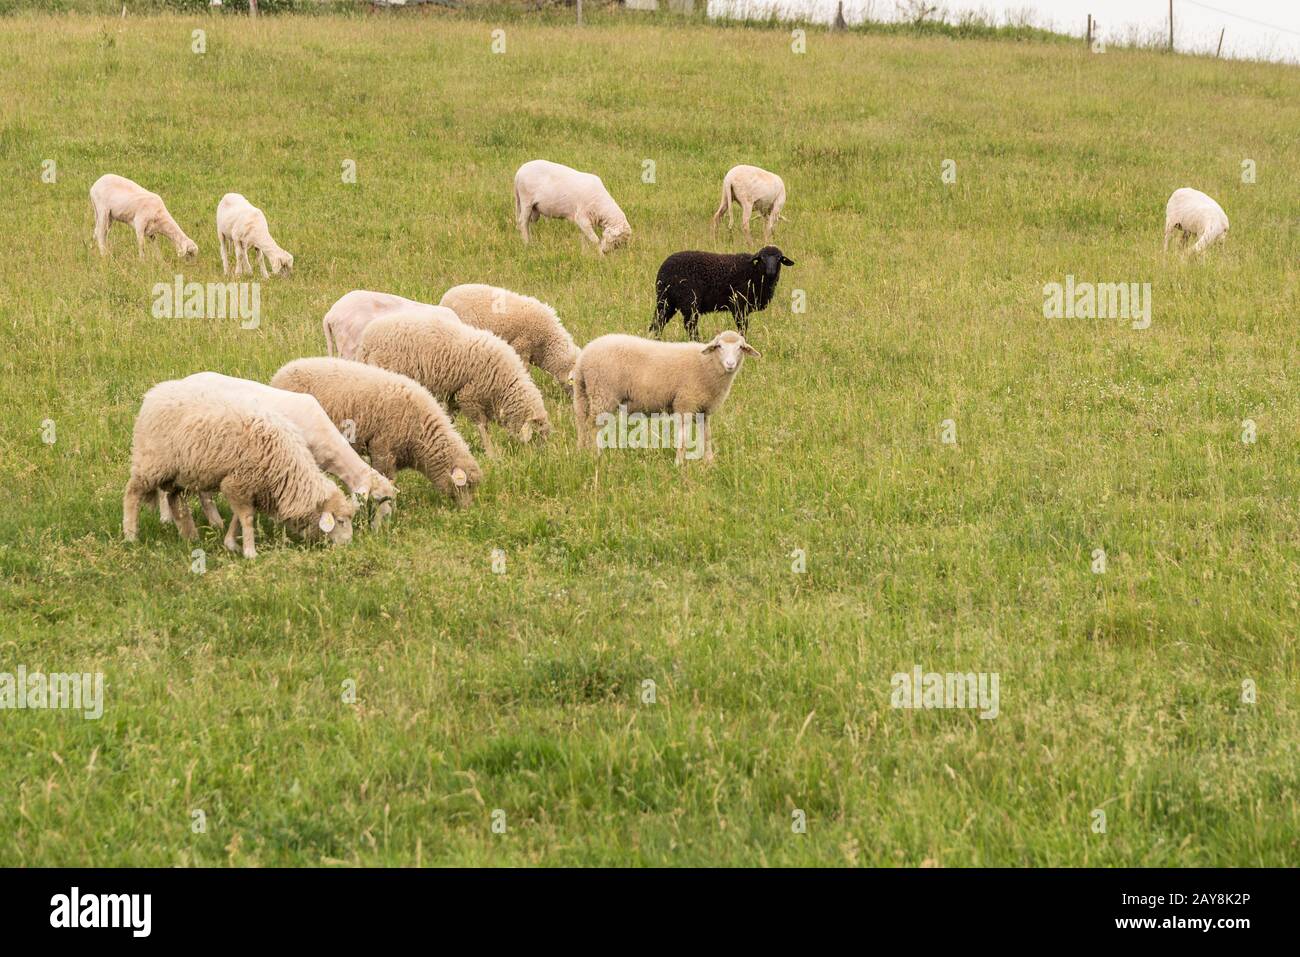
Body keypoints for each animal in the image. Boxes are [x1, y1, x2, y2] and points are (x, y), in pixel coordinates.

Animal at [122, 380, 356, 559]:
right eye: (340, 521)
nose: (349, 545)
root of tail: (154, 393)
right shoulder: (239, 481)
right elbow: (247, 518)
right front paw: (250, 551)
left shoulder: (243, 485)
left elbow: (239, 515)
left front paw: (231, 543)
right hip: (152, 462)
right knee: (132, 493)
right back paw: (131, 534)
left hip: (180, 472)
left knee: (174, 501)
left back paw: (190, 536)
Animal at [356, 308, 551, 457]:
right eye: (538, 437)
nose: (537, 459)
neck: (506, 385)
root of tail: (366, 341)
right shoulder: (469, 395)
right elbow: (482, 426)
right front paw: (491, 453)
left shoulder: (454, 395)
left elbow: (451, 416)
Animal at [573, 330, 760, 465]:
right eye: (719, 346)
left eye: (740, 347)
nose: (730, 364)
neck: (707, 365)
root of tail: (584, 357)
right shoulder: (685, 403)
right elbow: (683, 438)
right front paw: (679, 464)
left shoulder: (703, 410)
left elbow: (707, 435)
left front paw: (709, 462)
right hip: (604, 393)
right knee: (593, 426)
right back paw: (597, 455)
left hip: (583, 394)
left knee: (582, 422)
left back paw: (581, 452)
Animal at [649, 246, 794, 341]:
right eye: (762, 258)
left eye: (779, 258)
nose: (771, 271)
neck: (754, 272)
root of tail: (663, 271)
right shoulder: (738, 304)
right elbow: (742, 327)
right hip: (688, 300)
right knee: (689, 325)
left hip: (666, 301)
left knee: (658, 322)